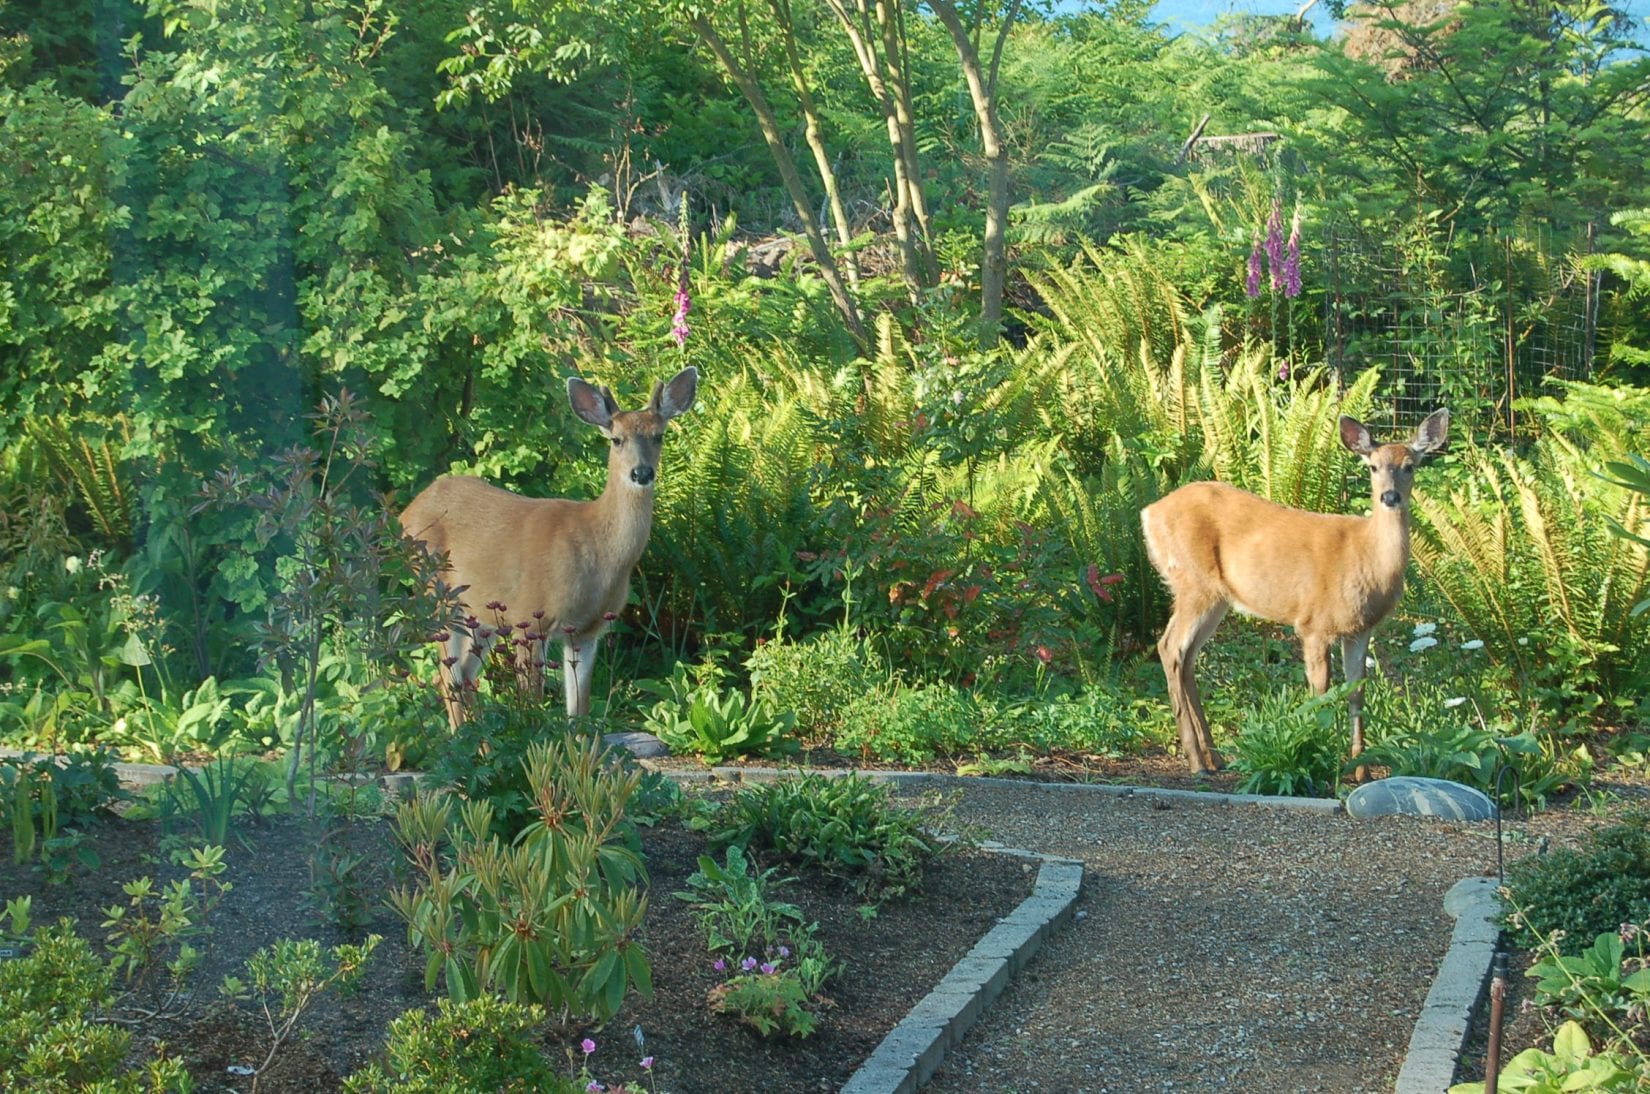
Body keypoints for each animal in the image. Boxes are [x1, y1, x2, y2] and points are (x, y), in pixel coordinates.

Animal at [400, 367, 698, 726]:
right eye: (616, 439)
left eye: (659, 436)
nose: (641, 472)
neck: (598, 550)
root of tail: (406, 512)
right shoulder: (529, 619)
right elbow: (534, 704)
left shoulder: (587, 631)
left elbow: (578, 712)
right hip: (437, 594)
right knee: (448, 676)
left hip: (479, 612)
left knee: (465, 676)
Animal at [1139, 409, 1449, 776]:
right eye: (1373, 467)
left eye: (1410, 465)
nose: (1390, 497)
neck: (1365, 557)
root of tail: (1148, 513)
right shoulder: (1313, 623)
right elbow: (1321, 691)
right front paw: (1320, 756)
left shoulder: (1360, 629)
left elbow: (1356, 691)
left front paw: (1361, 769)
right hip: (1192, 582)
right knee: (1169, 646)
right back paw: (1196, 761)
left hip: (1216, 597)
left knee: (1187, 657)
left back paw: (1215, 757)